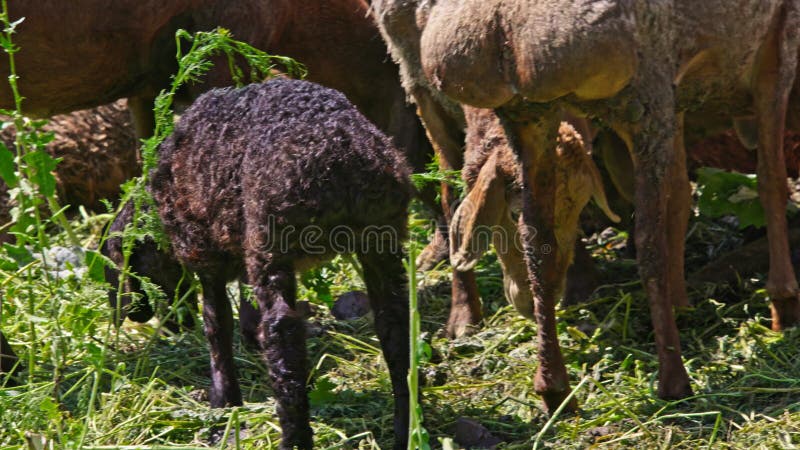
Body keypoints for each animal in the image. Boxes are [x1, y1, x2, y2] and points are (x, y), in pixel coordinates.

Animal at [105, 78, 412, 449]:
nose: (173, 325)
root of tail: (342, 156)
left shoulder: (205, 255)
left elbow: (217, 327)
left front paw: (222, 406)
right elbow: (244, 309)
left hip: (273, 239)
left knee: (281, 329)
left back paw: (294, 437)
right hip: (380, 237)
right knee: (394, 326)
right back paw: (405, 428)